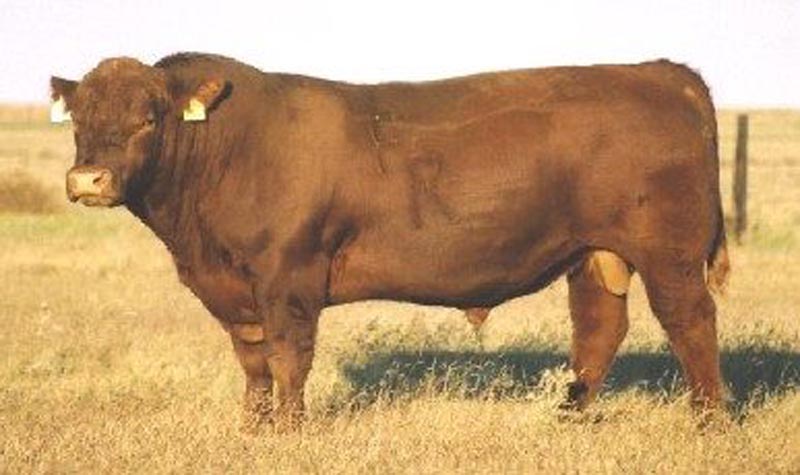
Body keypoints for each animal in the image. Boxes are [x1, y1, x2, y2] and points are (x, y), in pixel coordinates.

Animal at [51, 53, 729, 431]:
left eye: (148, 117)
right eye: (79, 118)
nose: (88, 179)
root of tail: (660, 73)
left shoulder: (288, 276)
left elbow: (288, 358)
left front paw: (289, 433)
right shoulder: (232, 291)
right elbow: (253, 364)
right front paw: (252, 429)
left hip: (669, 254)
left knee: (690, 322)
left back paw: (709, 422)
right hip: (592, 254)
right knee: (597, 329)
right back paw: (567, 415)